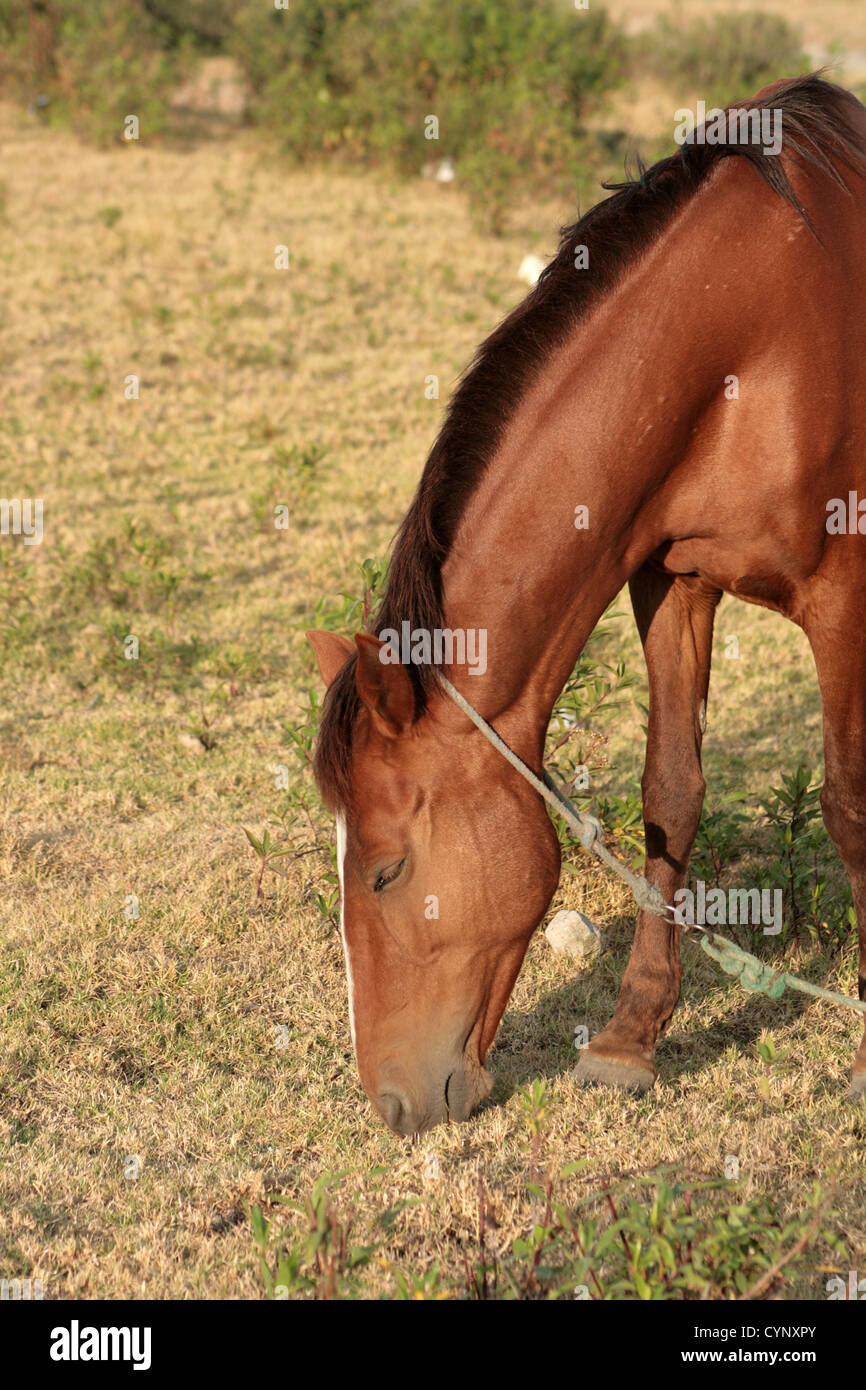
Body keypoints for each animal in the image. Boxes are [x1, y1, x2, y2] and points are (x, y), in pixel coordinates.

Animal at [307, 74, 866, 1135]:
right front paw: (627, 1039)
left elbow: (847, 804)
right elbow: (671, 795)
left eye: (389, 870)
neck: (751, 340)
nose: (390, 1104)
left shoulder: (842, 597)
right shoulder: (671, 582)